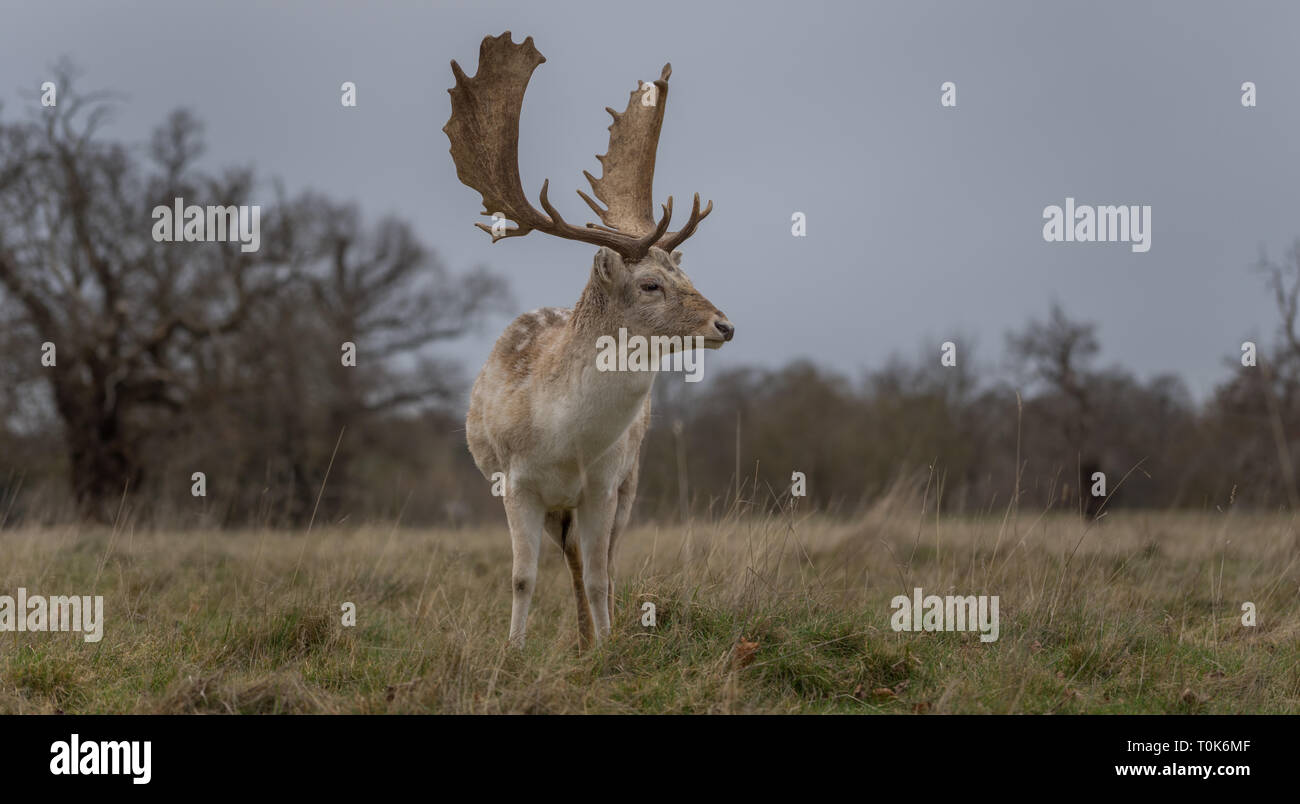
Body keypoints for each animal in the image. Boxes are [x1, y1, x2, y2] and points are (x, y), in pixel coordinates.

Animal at [444, 32, 734, 650]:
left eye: (684, 273)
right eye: (650, 284)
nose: (724, 325)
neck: (563, 441)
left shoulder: (604, 484)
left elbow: (601, 573)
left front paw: (605, 646)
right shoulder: (516, 486)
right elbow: (523, 577)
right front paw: (514, 650)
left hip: (629, 480)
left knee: (597, 560)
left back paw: (588, 634)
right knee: (570, 557)